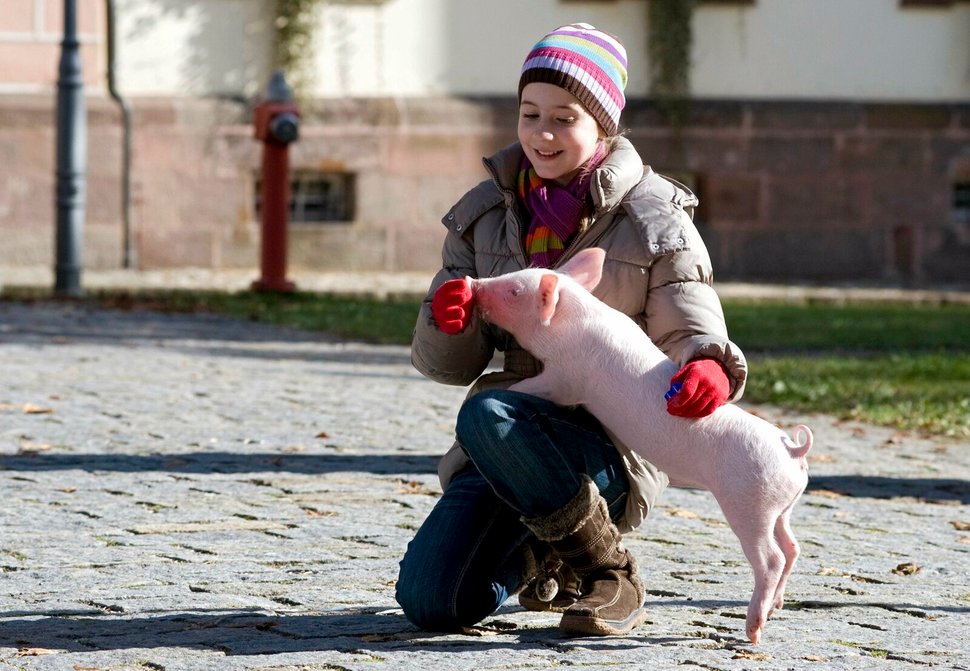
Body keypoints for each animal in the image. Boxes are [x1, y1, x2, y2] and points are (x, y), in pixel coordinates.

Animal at [469, 247, 813, 644]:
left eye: (513, 291)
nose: (474, 284)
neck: (572, 323)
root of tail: (792, 451)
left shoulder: (567, 377)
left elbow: (537, 388)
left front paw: (493, 392)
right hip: (780, 506)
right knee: (792, 547)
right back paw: (777, 607)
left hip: (749, 504)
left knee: (771, 558)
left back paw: (753, 630)